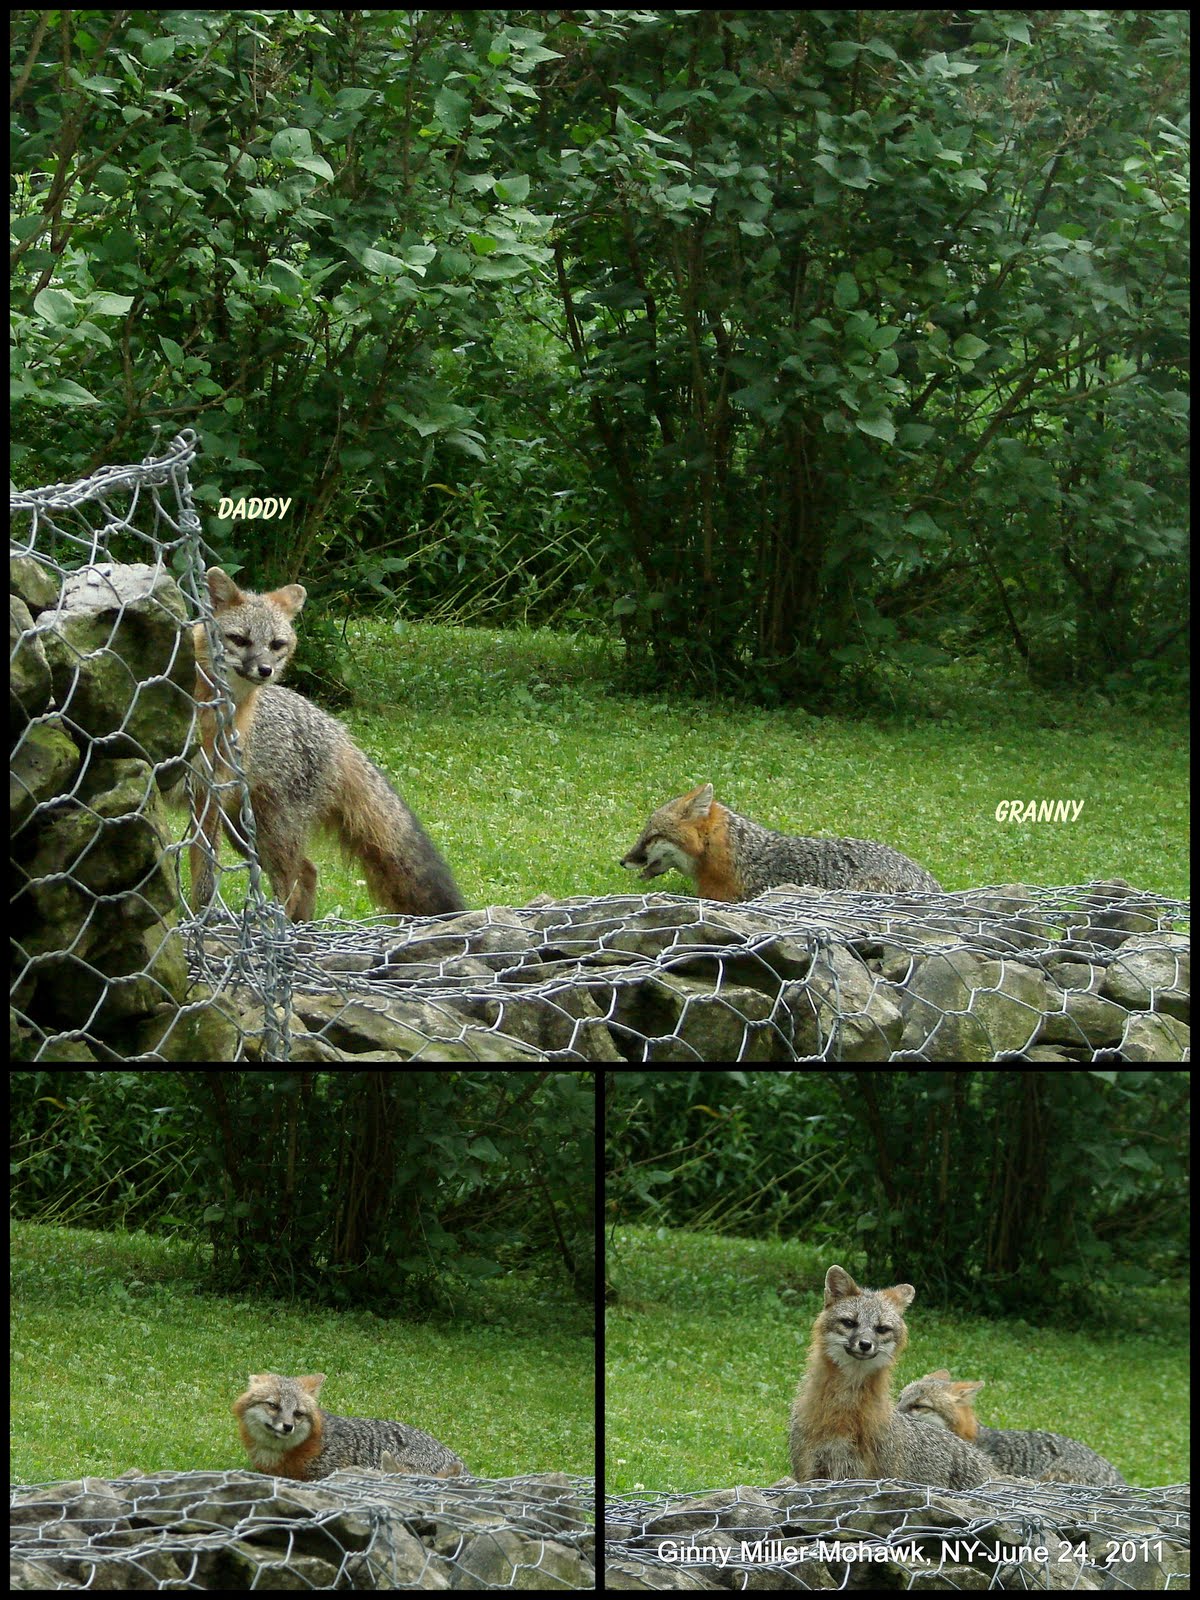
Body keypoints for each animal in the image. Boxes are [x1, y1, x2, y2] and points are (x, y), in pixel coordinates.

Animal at [190, 567, 465, 920]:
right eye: (238, 639)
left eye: (276, 644)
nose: (265, 670)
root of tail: (338, 730)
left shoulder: (206, 795)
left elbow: (203, 875)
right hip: (244, 830)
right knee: (307, 871)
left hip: (268, 833)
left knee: (294, 882)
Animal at [789, 1266, 995, 1490]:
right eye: (849, 1323)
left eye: (882, 1329)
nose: (865, 1344)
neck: (844, 1412)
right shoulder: (810, 1470)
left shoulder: (873, 1476)